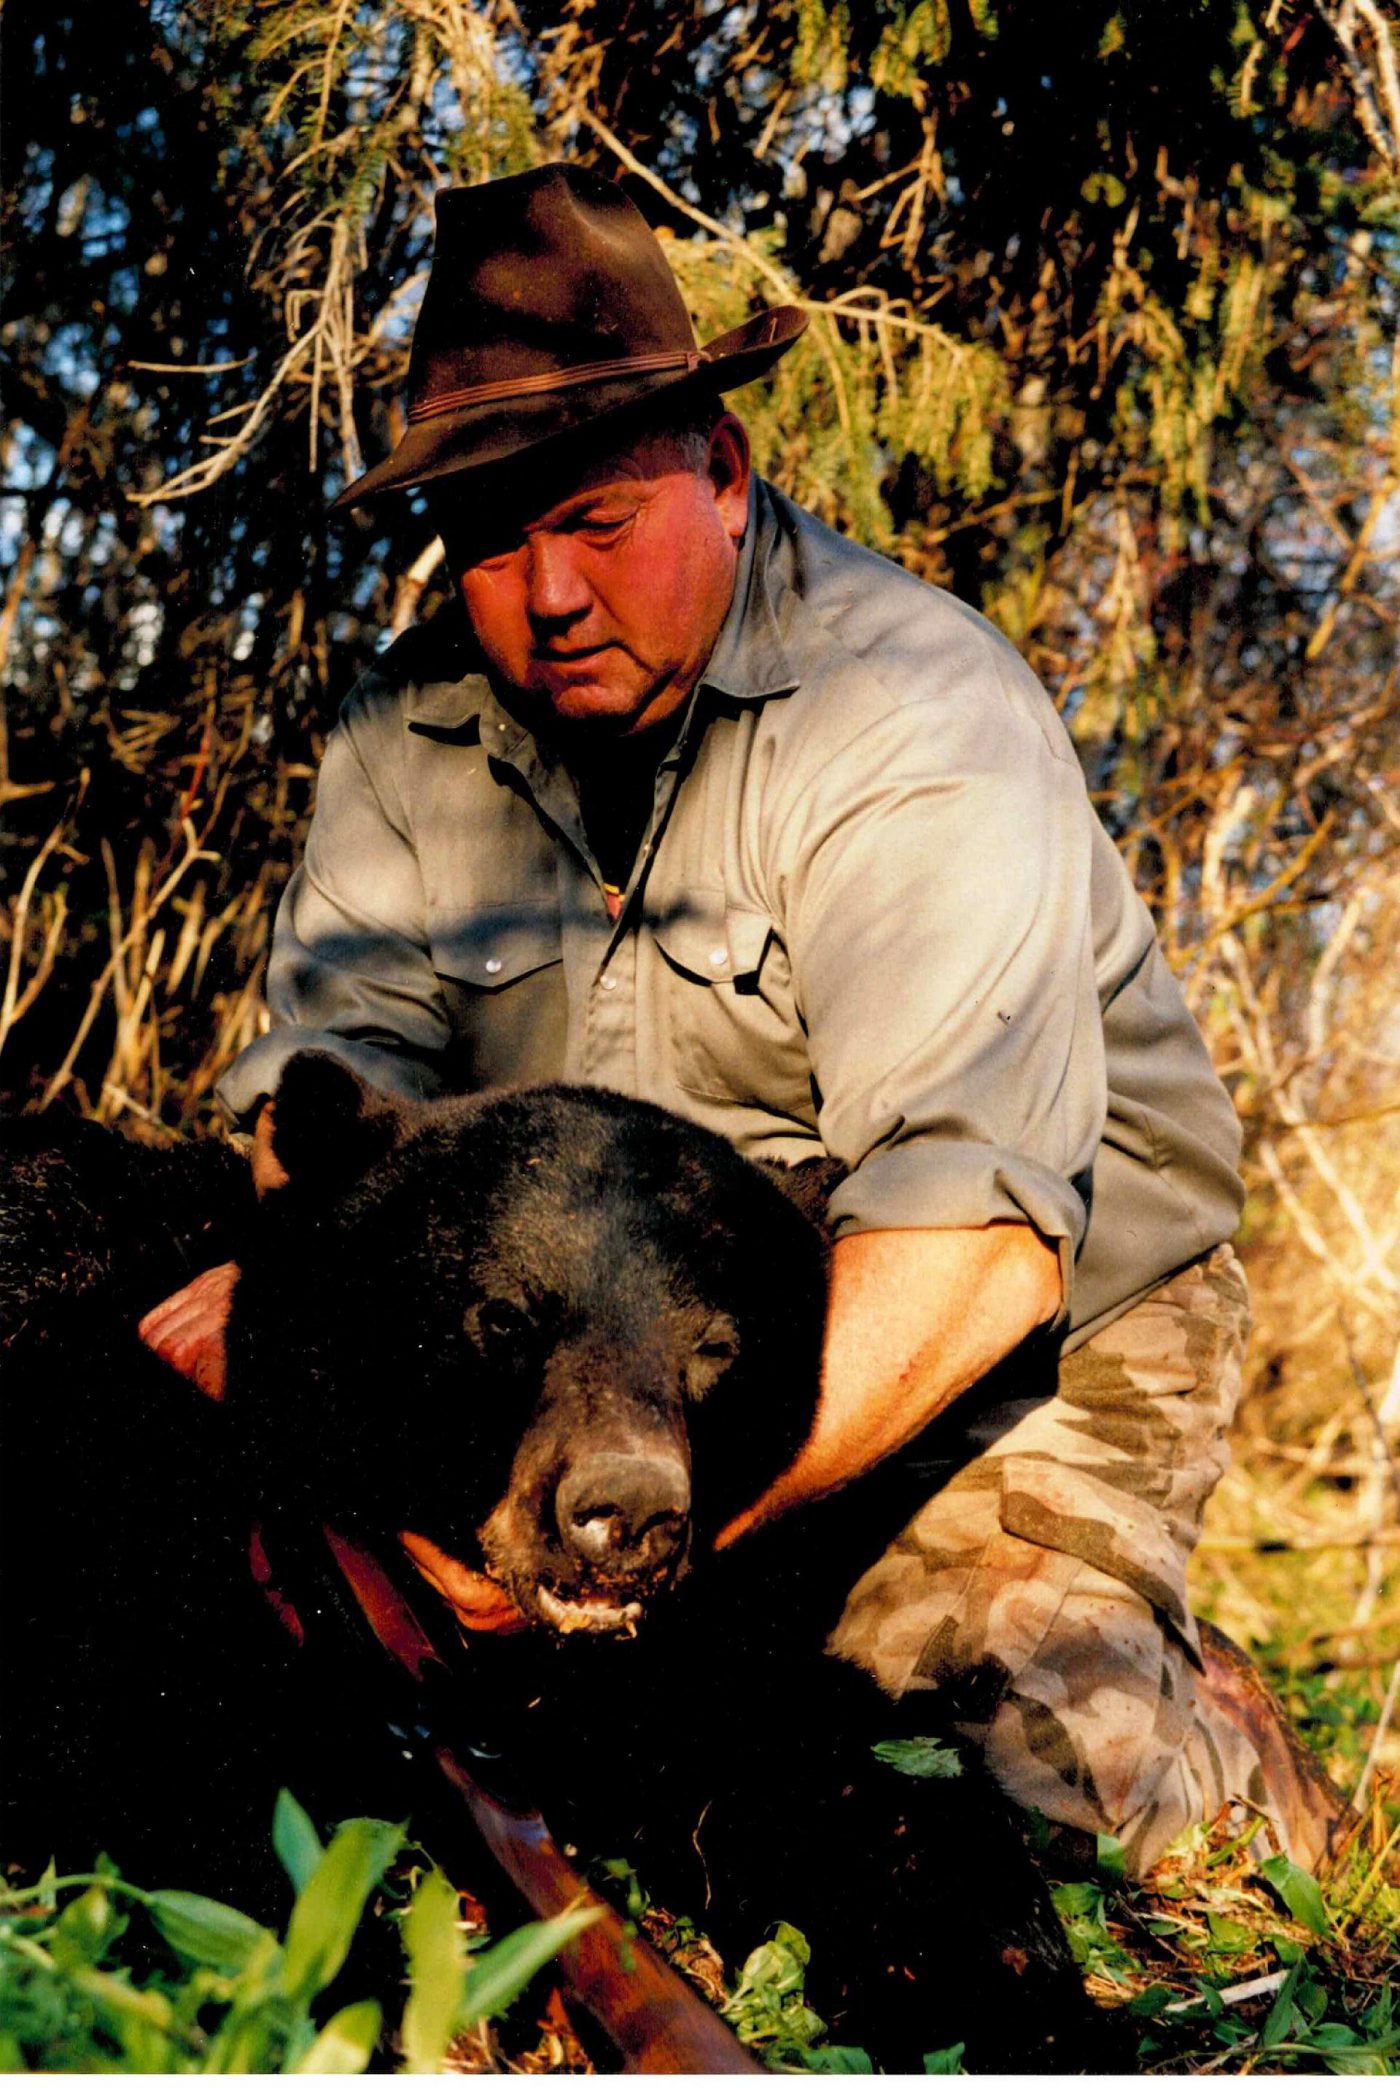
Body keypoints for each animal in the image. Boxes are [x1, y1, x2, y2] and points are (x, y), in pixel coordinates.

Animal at [1, 1057, 1120, 2071]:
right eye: (503, 1315)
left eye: (716, 1346)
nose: (625, 1510)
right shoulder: (163, 1525)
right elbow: (175, 1775)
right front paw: (352, 2002)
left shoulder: (681, 1659)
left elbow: (854, 1769)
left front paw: (1018, 1997)